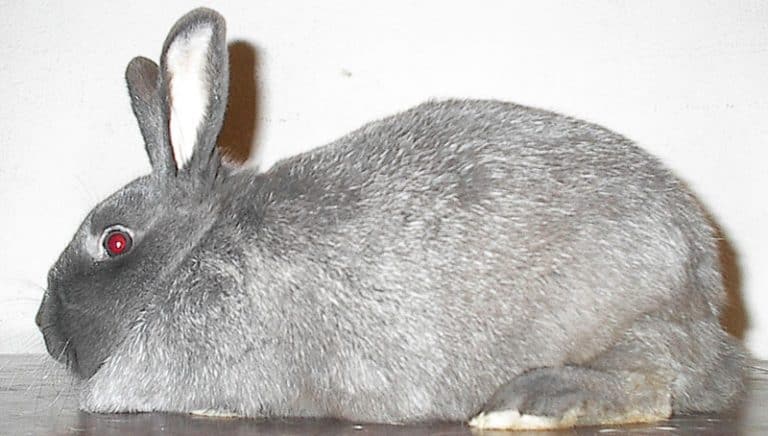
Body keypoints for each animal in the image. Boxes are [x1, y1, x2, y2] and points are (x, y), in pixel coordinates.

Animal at [35, 7, 745, 430]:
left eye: (115, 241)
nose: (42, 327)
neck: (197, 251)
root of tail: (707, 299)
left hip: (625, 318)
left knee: (650, 389)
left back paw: (524, 405)